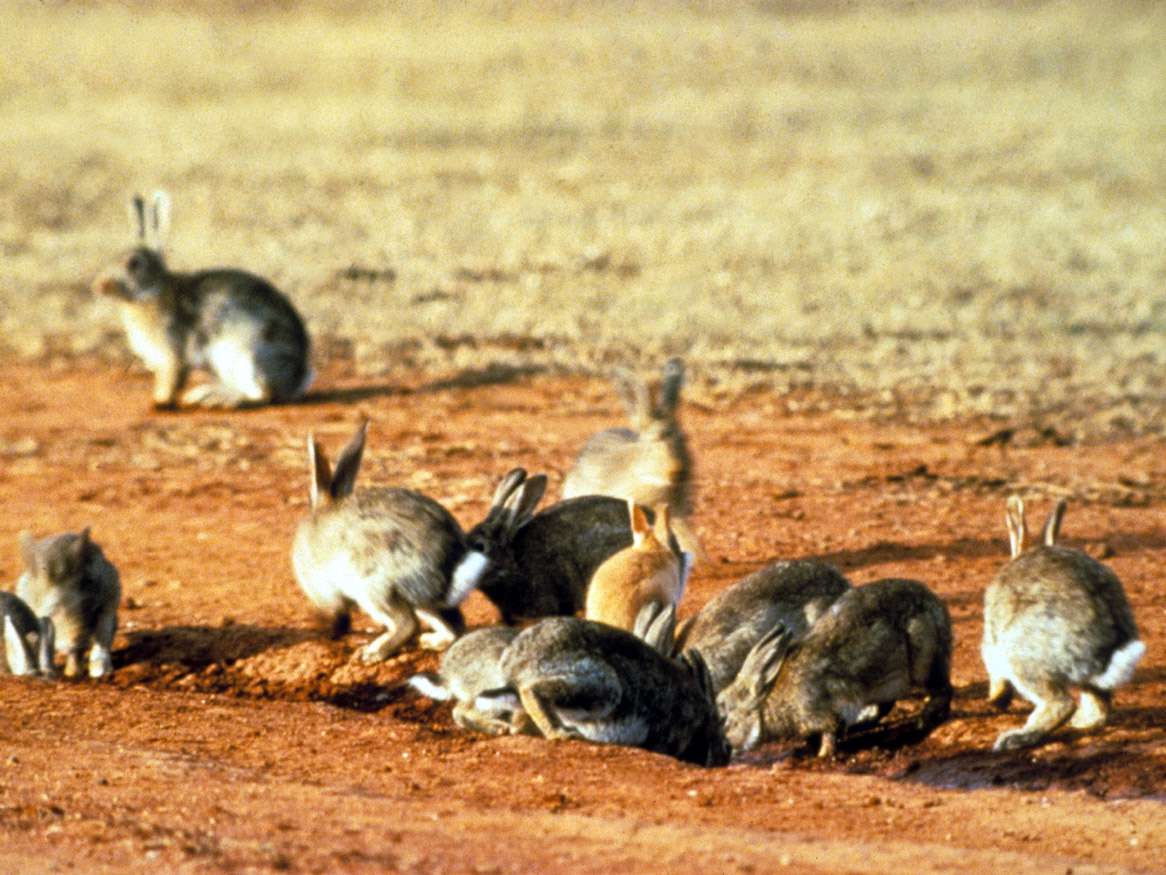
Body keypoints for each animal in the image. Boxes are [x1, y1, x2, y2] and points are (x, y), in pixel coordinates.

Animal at [93, 191, 311, 409]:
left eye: (133, 263)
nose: (99, 286)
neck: (152, 292)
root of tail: (297, 380)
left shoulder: (171, 355)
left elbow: (170, 381)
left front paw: (160, 403)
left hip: (249, 358)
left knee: (264, 395)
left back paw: (217, 398)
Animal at [291, 420, 488, 662]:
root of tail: (450, 567)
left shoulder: (324, 589)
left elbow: (337, 612)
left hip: (373, 586)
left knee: (408, 624)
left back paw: (372, 653)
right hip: (422, 602)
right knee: (455, 627)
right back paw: (431, 642)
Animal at [475, 614, 731, 766]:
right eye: (721, 724)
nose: (724, 756)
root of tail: (514, 669)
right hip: (604, 686)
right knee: (533, 691)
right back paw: (561, 733)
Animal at [718, 578, 953, 757]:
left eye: (726, 722)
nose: (723, 752)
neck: (767, 699)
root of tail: (939, 608)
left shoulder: (822, 711)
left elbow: (831, 732)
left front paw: (823, 756)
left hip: (923, 661)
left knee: (943, 689)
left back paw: (925, 719)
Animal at [982, 496, 1144, 752]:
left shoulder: (991, 642)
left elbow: (994, 671)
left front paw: (997, 698)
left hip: (1021, 655)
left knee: (1061, 704)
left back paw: (1016, 738)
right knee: (1099, 705)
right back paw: (1082, 722)